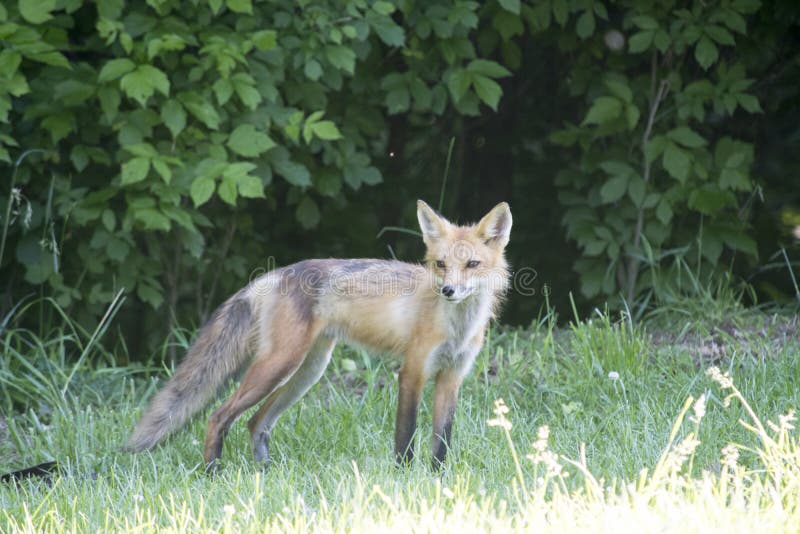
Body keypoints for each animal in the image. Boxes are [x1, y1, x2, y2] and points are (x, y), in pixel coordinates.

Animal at [125, 200, 512, 470]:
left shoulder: (452, 377)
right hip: (278, 366)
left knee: (255, 423)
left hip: (306, 372)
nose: (448, 290)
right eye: (440, 264)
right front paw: (403, 480)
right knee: (219, 416)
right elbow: (405, 437)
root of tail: (273, 274)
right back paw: (212, 474)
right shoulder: (412, 372)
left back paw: (263, 475)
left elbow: (441, 442)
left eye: (472, 264)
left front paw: (437, 482)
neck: (457, 327)